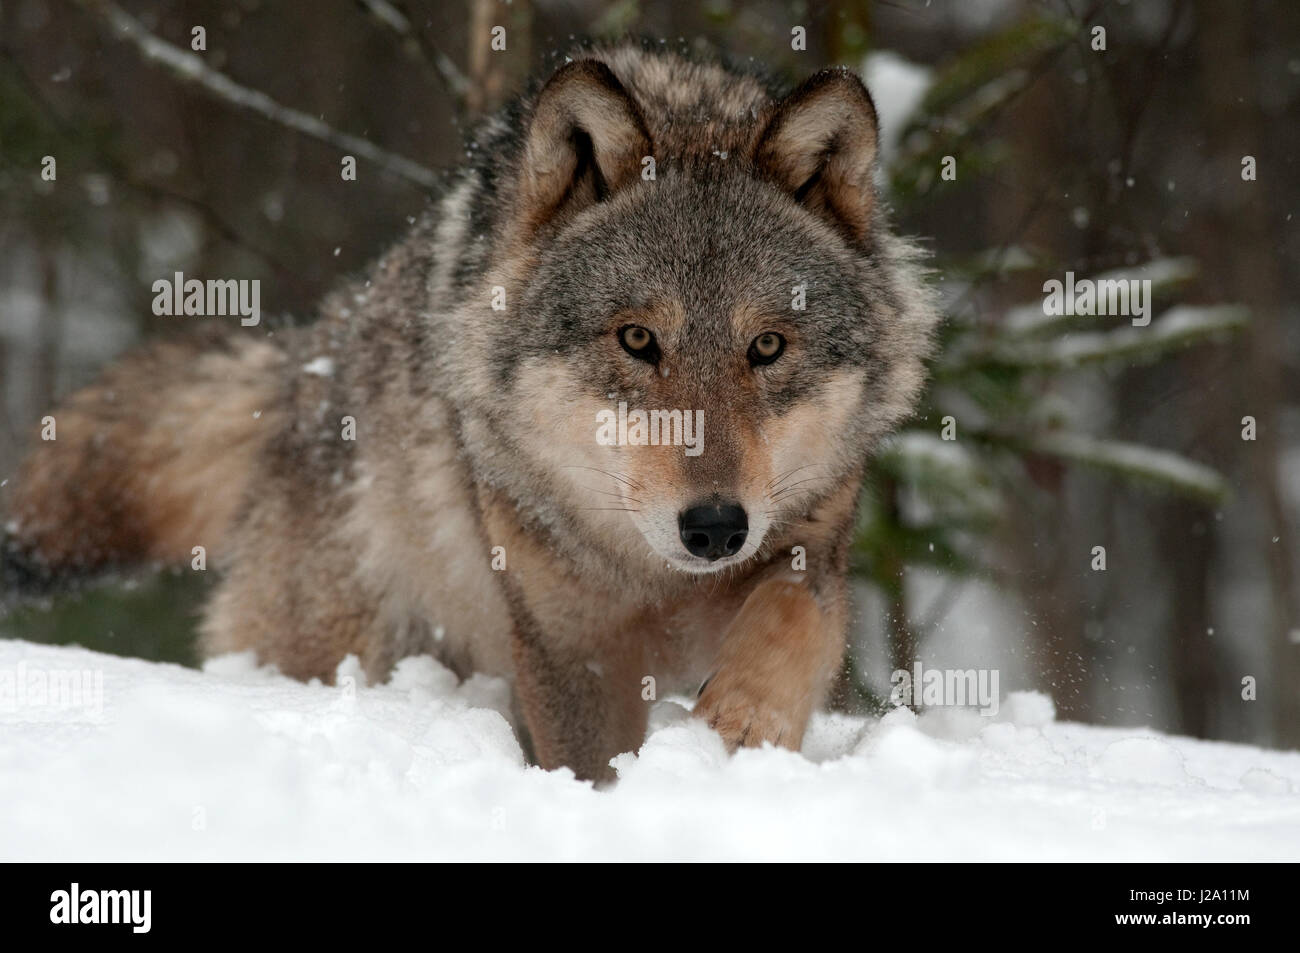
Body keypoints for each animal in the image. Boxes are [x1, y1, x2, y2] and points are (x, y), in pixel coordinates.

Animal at [1, 43, 938, 780]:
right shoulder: (570, 650)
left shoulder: (811, 547)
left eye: (768, 347)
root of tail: (317, 352)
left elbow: (787, 619)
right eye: (638, 340)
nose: (714, 527)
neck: (653, 575)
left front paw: (739, 725)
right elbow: (589, 762)